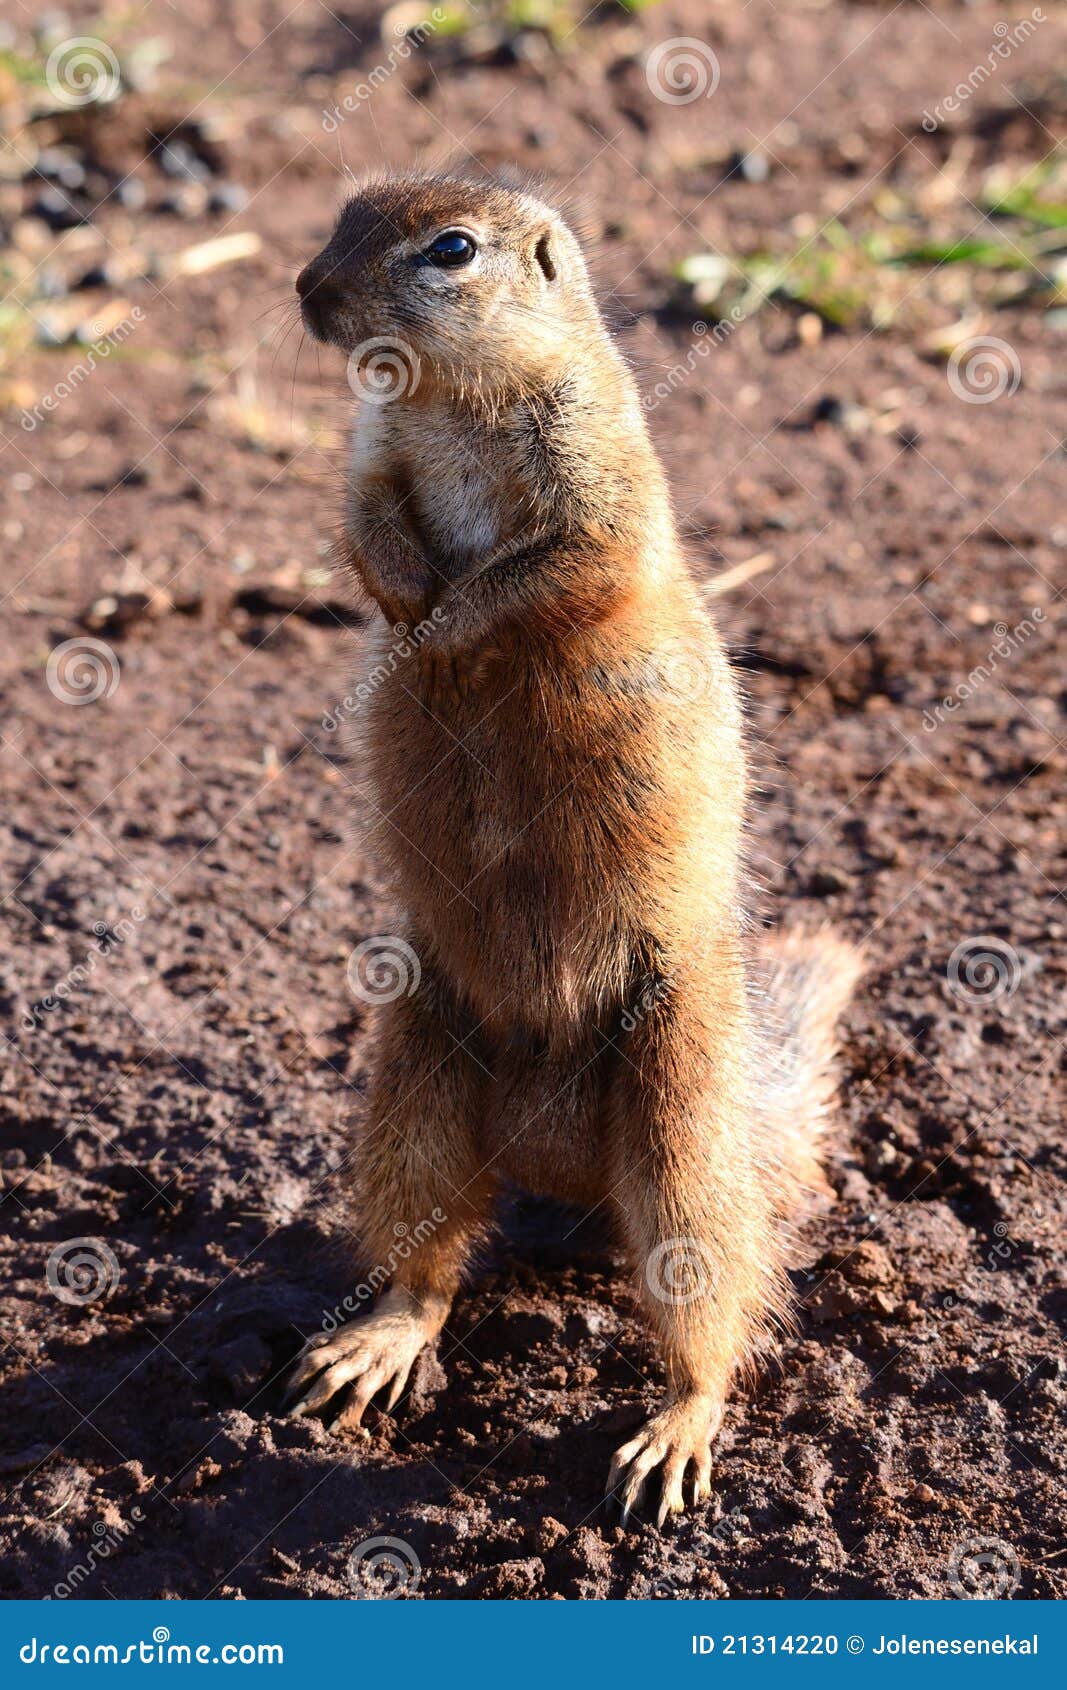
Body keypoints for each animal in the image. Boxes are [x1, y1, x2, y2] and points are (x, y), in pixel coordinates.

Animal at [283, 171, 864, 1527]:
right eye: (342, 211)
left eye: (450, 250)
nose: (307, 291)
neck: (446, 398)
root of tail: (557, 1161)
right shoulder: (369, 457)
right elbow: (366, 526)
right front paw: (410, 607)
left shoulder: (599, 478)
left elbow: (549, 571)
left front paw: (446, 629)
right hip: (416, 1075)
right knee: (429, 1260)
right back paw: (371, 1345)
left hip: (676, 1113)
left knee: (713, 1306)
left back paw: (671, 1438)